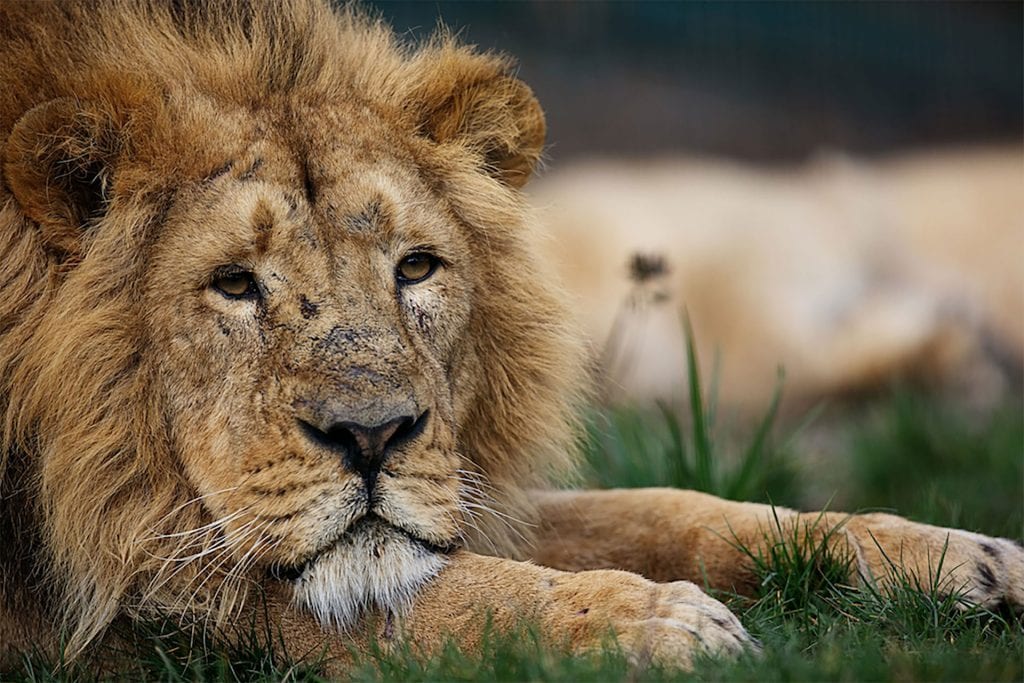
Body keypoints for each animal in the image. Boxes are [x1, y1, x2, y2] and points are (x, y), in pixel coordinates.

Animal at [1, 0, 1021, 674]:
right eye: (234, 283)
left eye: (415, 267)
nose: (373, 437)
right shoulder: (121, 599)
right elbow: (430, 603)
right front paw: (654, 624)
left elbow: (672, 509)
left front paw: (952, 558)